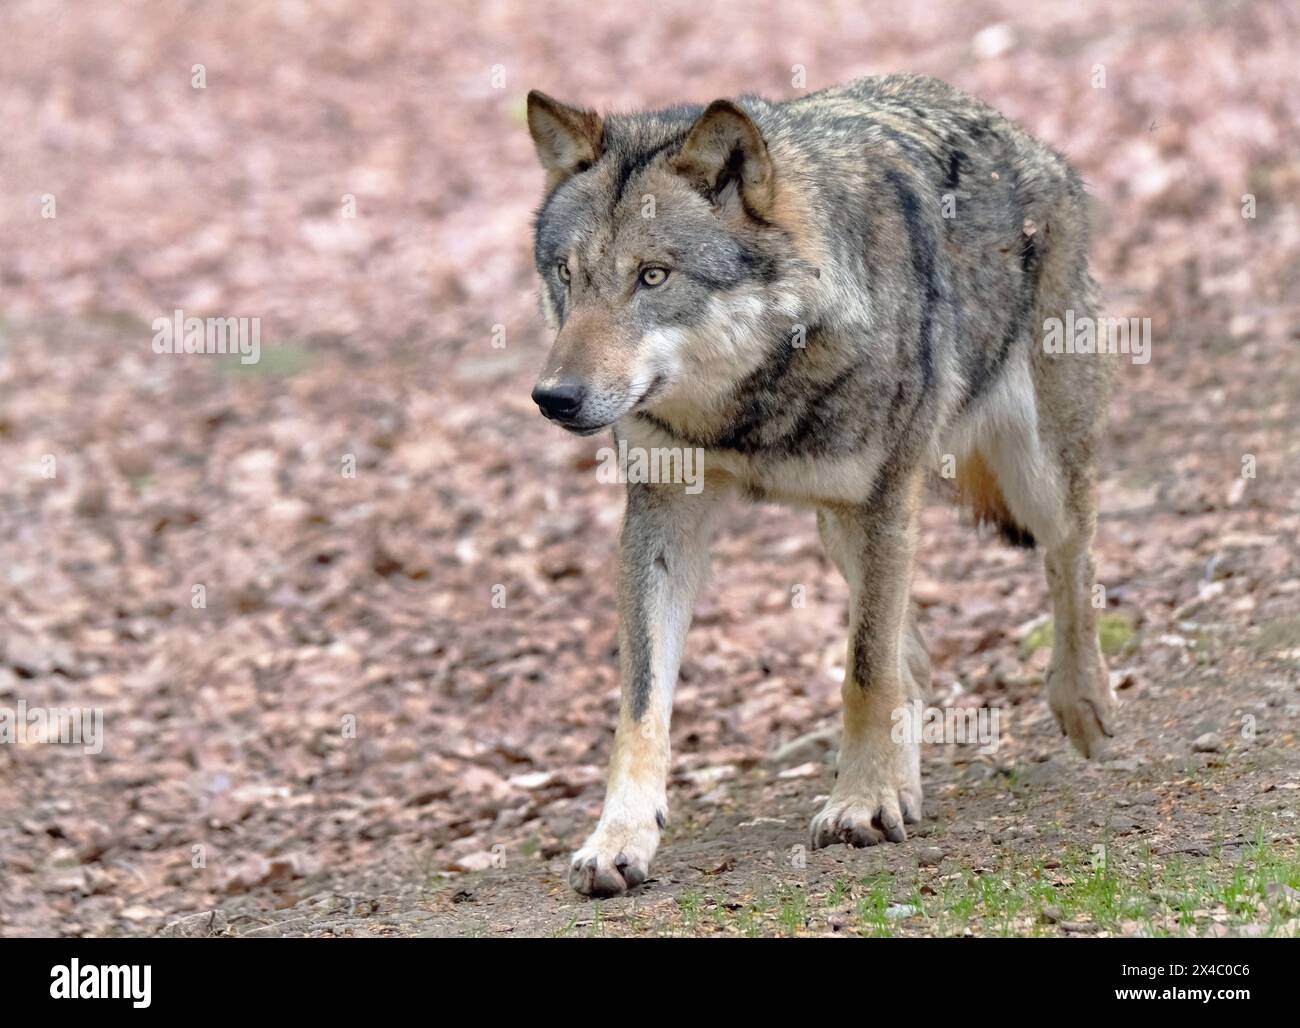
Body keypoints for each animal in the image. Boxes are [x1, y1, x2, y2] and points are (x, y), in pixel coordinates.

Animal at [525, 74, 1118, 897]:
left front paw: (862, 803)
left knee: (1071, 558)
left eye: (653, 276)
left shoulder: (889, 495)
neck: (749, 409)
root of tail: (1028, 140)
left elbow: (863, 673)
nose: (554, 398)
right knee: (914, 657)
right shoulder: (662, 517)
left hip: (1031, 475)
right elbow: (641, 704)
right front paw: (619, 839)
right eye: (567, 275)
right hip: (843, 528)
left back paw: (1082, 701)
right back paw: (907, 780)